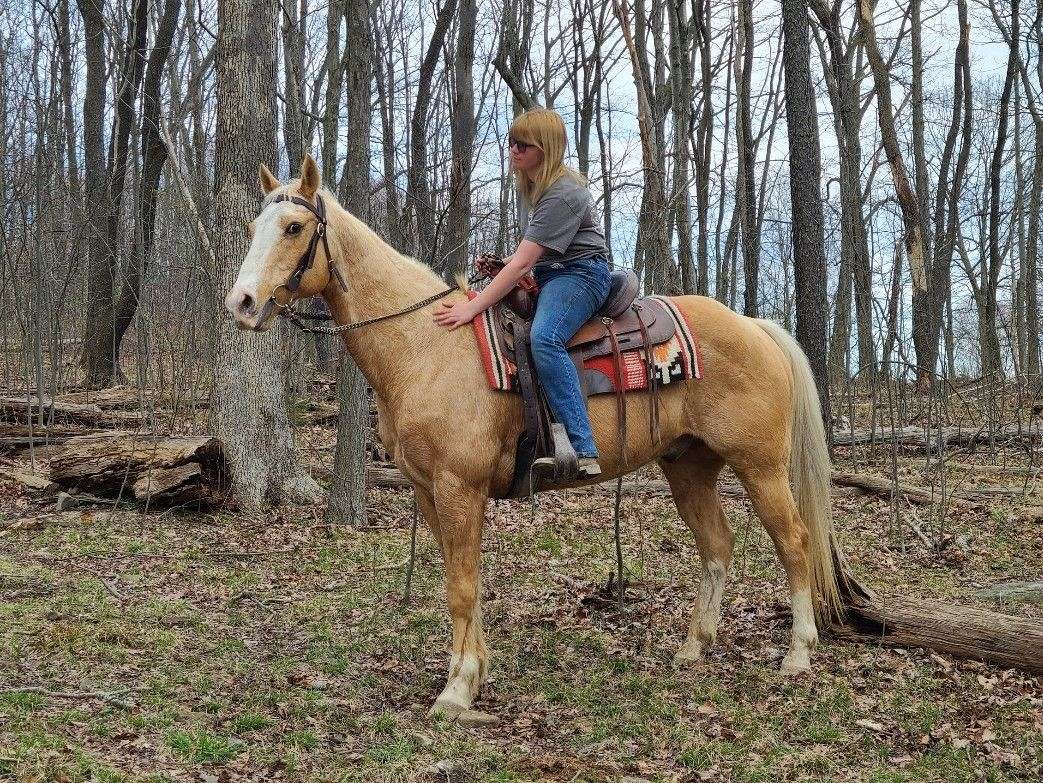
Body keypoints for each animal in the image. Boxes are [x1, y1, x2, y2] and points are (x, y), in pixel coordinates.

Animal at [225, 154, 843, 719]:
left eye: (294, 227)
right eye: (253, 227)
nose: (242, 304)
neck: (425, 345)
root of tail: (754, 326)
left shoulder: (459, 488)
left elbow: (463, 585)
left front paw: (456, 690)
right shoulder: (428, 490)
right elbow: (460, 582)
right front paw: (471, 675)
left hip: (760, 466)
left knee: (795, 542)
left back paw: (797, 654)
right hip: (689, 466)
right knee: (718, 546)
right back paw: (693, 647)